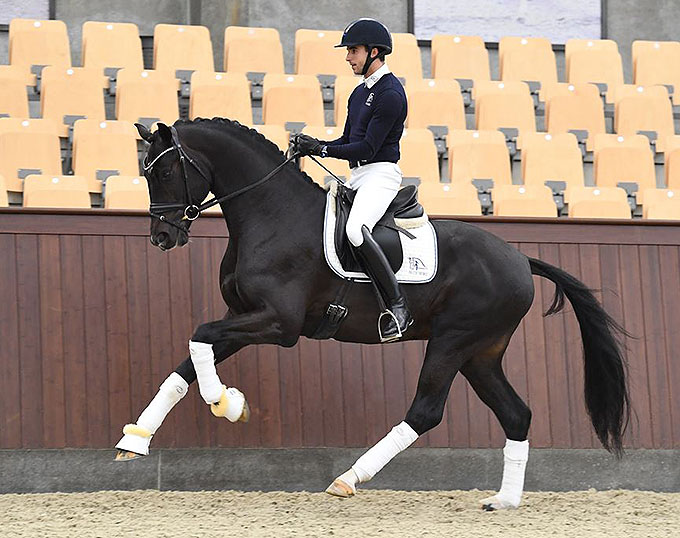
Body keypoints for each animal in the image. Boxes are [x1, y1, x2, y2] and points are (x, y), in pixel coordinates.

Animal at [115, 118, 629, 510]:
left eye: (166, 172)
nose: (163, 237)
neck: (271, 213)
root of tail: (520, 258)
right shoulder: (242, 314)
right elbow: (190, 356)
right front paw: (136, 440)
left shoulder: (278, 323)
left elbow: (199, 338)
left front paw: (227, 402)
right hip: (481, 354)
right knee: (516, 414)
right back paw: (503, 501)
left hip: (453, 342)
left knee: (425, 411)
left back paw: (348, 478)